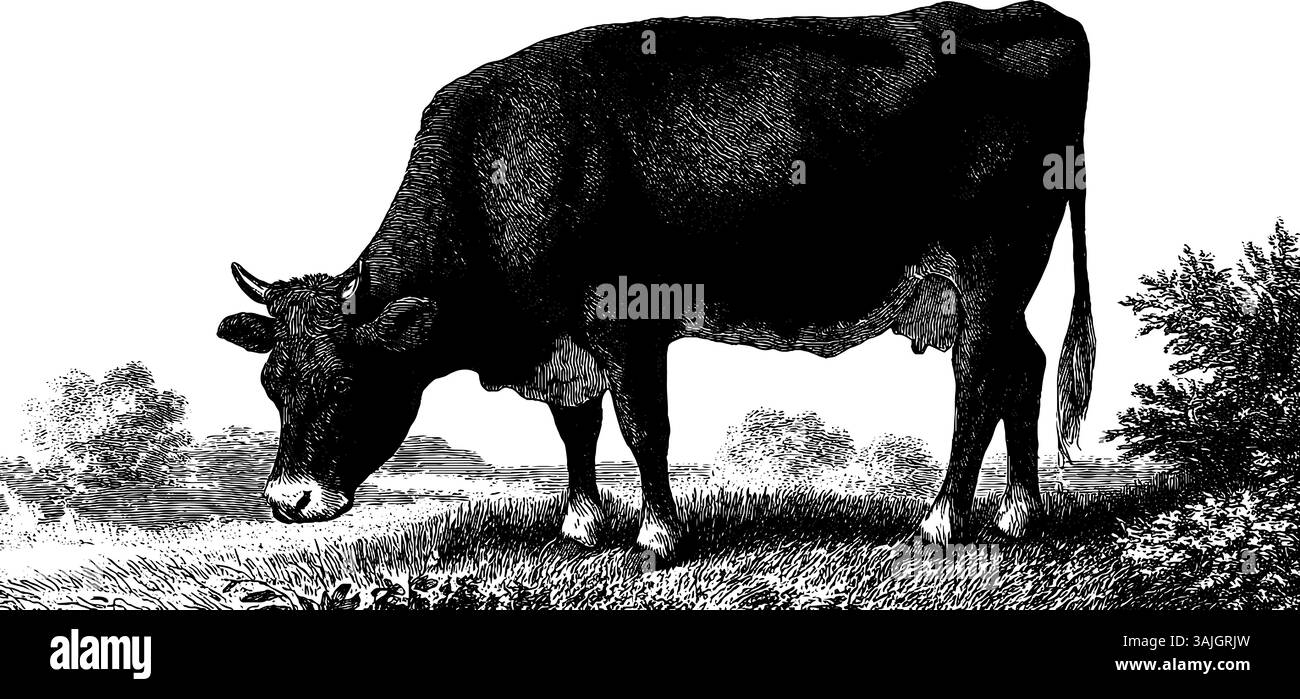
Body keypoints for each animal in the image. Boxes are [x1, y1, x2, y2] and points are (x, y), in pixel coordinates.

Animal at [218, 1, 1093, 563]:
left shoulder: (626, 320)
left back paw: (944, 520)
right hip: (990, 286)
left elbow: (644, 428)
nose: (287, 501)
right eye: (270, 384)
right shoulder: (563, 339)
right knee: (1024, 367)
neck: (503, 166)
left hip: (990, 266)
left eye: (346, 384)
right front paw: (580, 523)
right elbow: (576, 428)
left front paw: (660, 536)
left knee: (978, 379)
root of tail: (1032, 14)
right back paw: (1019, 514)